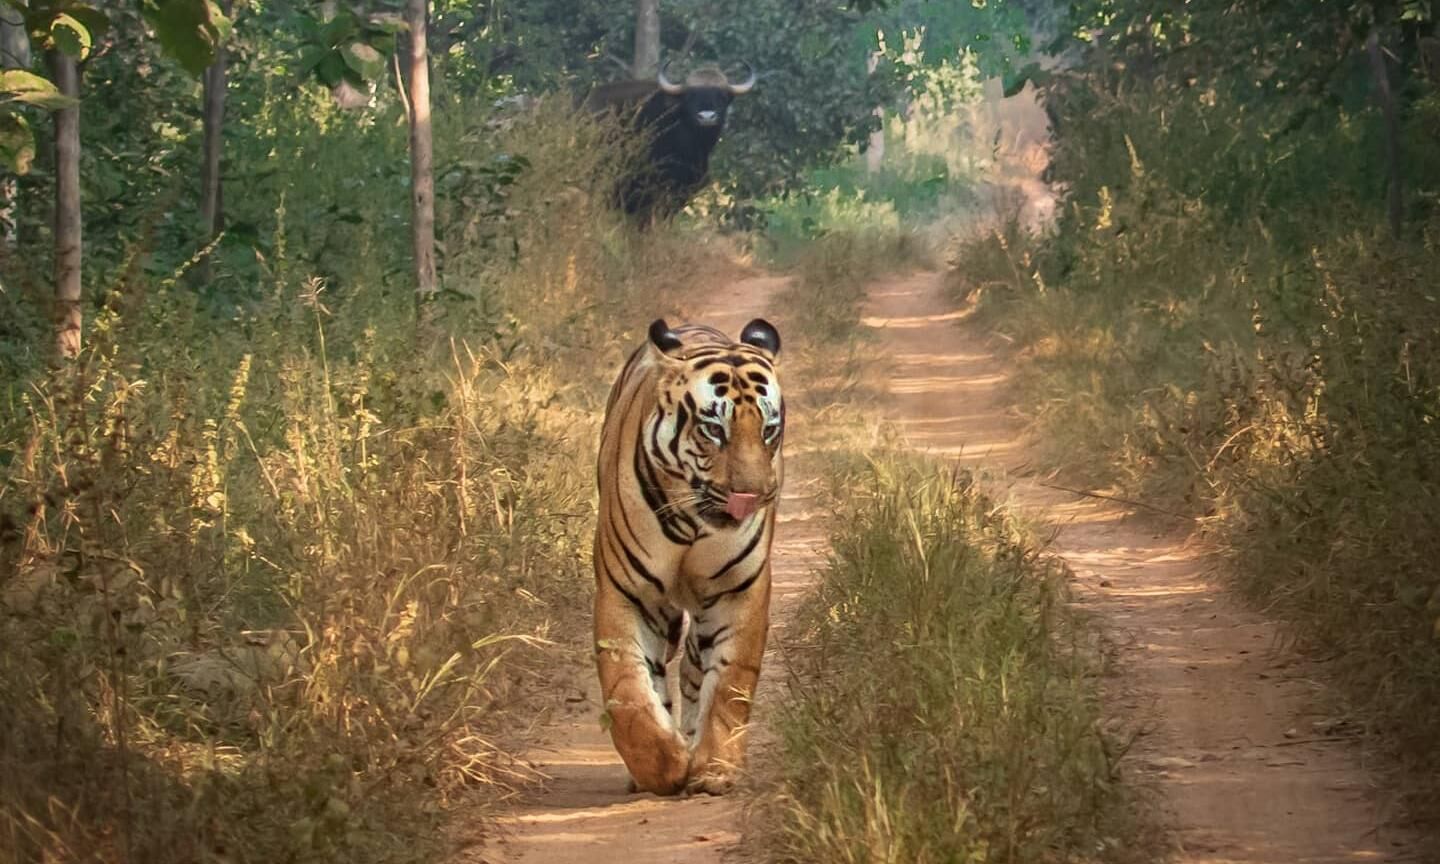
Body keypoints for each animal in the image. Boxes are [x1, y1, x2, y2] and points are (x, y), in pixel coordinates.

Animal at [593, 316, 784, 796]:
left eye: (769, 429)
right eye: (714, 429)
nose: (752, 497)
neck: (693, 523)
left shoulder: (739, 591)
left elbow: (730, 685)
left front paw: (714, 767)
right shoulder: (628, 593)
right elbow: (627, 692)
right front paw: (663, 765)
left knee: (696, 672)